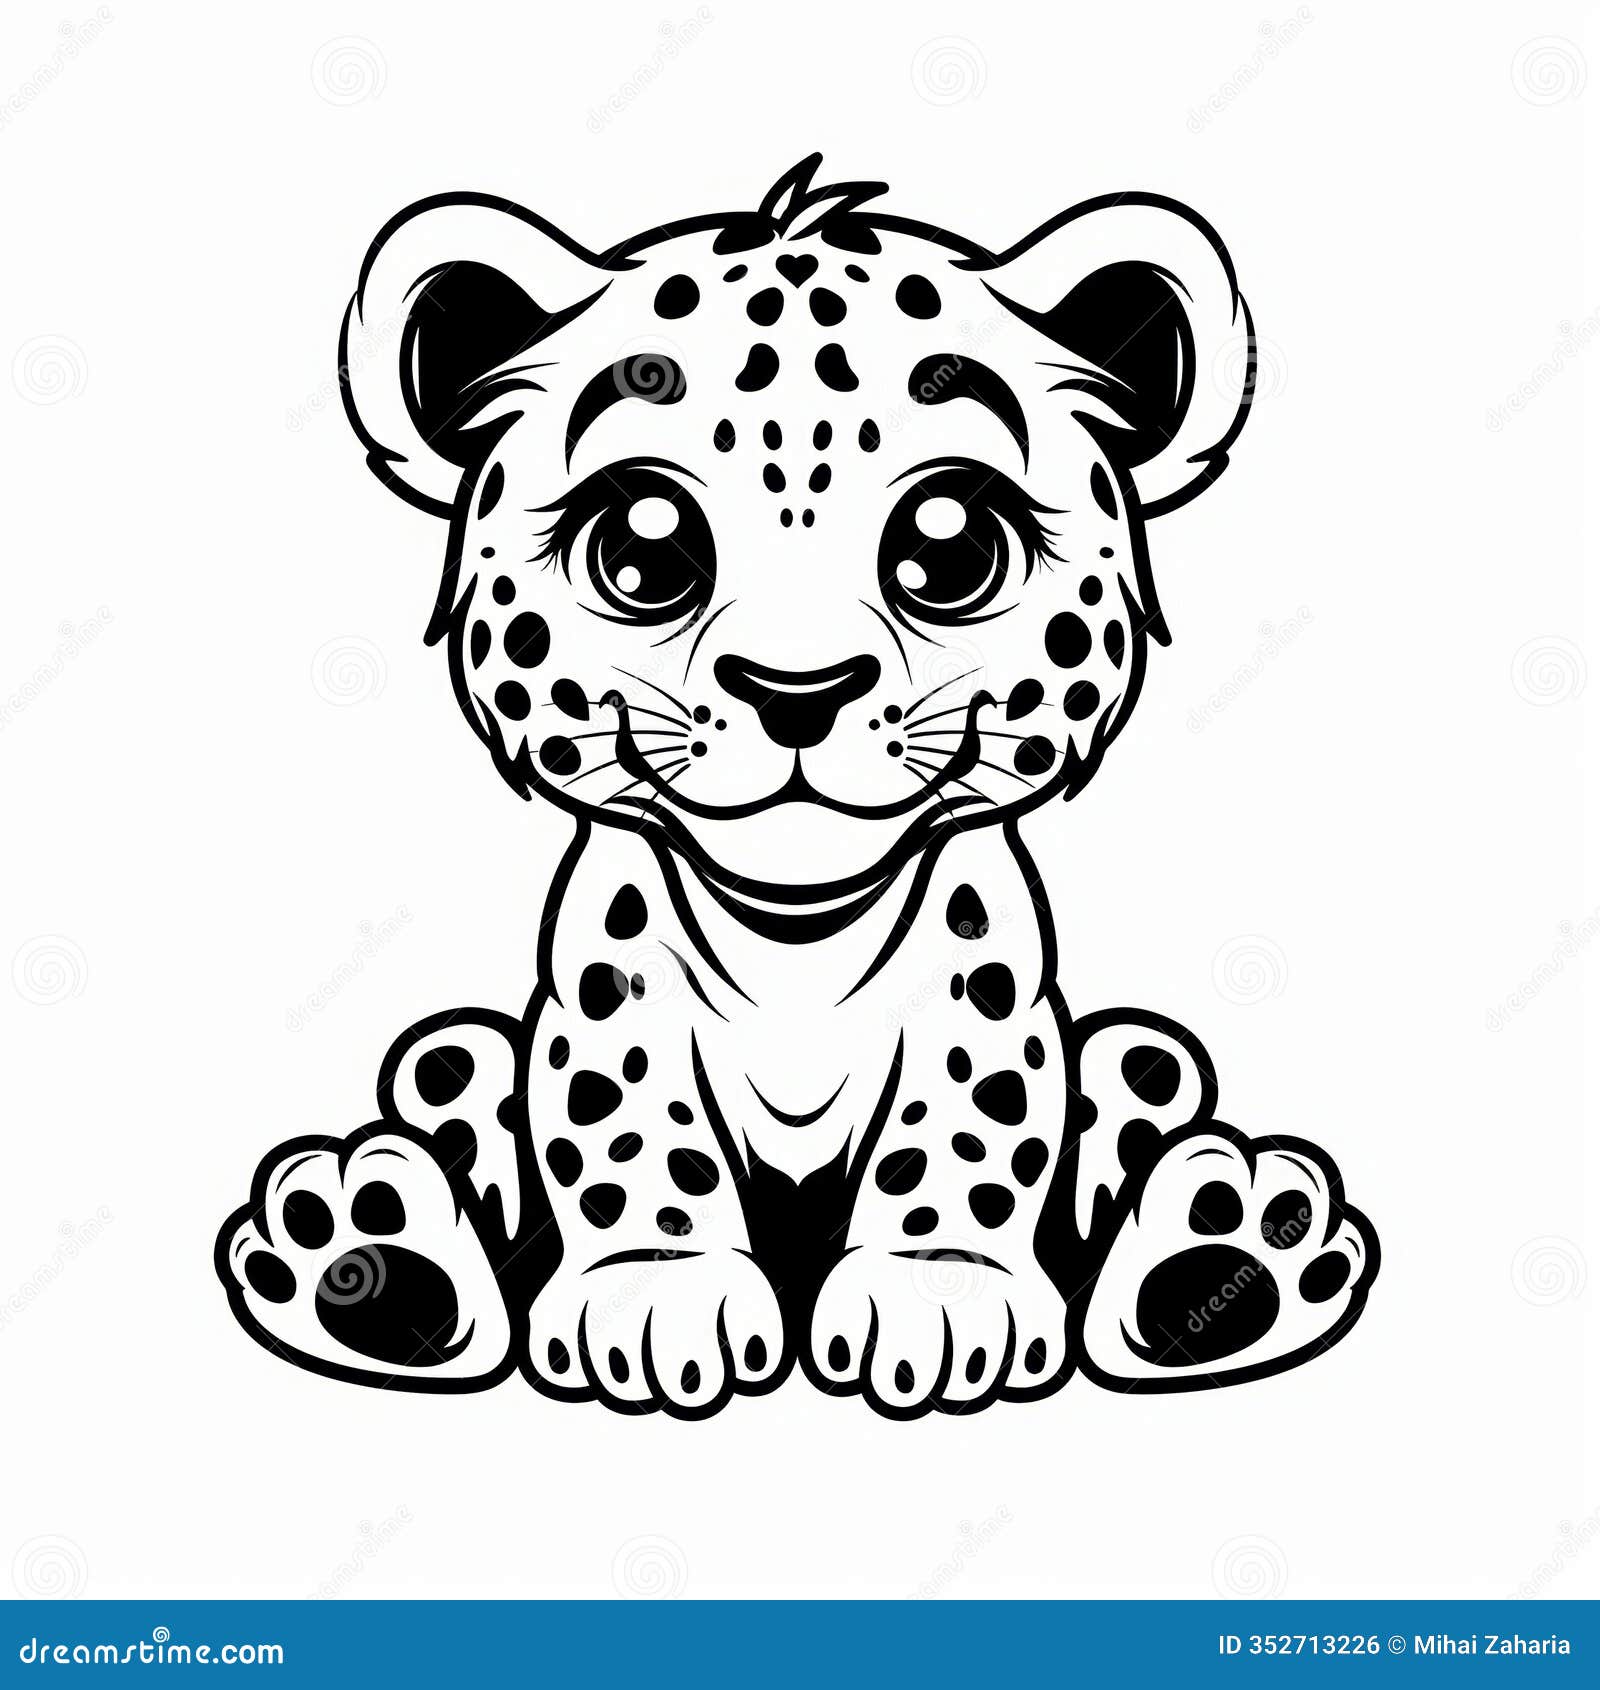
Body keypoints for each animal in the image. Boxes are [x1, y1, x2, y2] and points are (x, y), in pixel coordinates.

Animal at [216, 157, 1379, 1418]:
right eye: (642, 545)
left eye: (950, 543)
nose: (797, 690)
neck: (795, 931)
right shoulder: (612, 978)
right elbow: (625, 1122)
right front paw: (658, 1293)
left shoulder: (980, 977)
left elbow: (969, 1119)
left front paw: (935, 1292)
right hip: (464, 1059)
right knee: (455, 1074)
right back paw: (370, 1259)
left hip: (1129, 1061)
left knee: (1137, 1075)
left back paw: (1217, 1262)